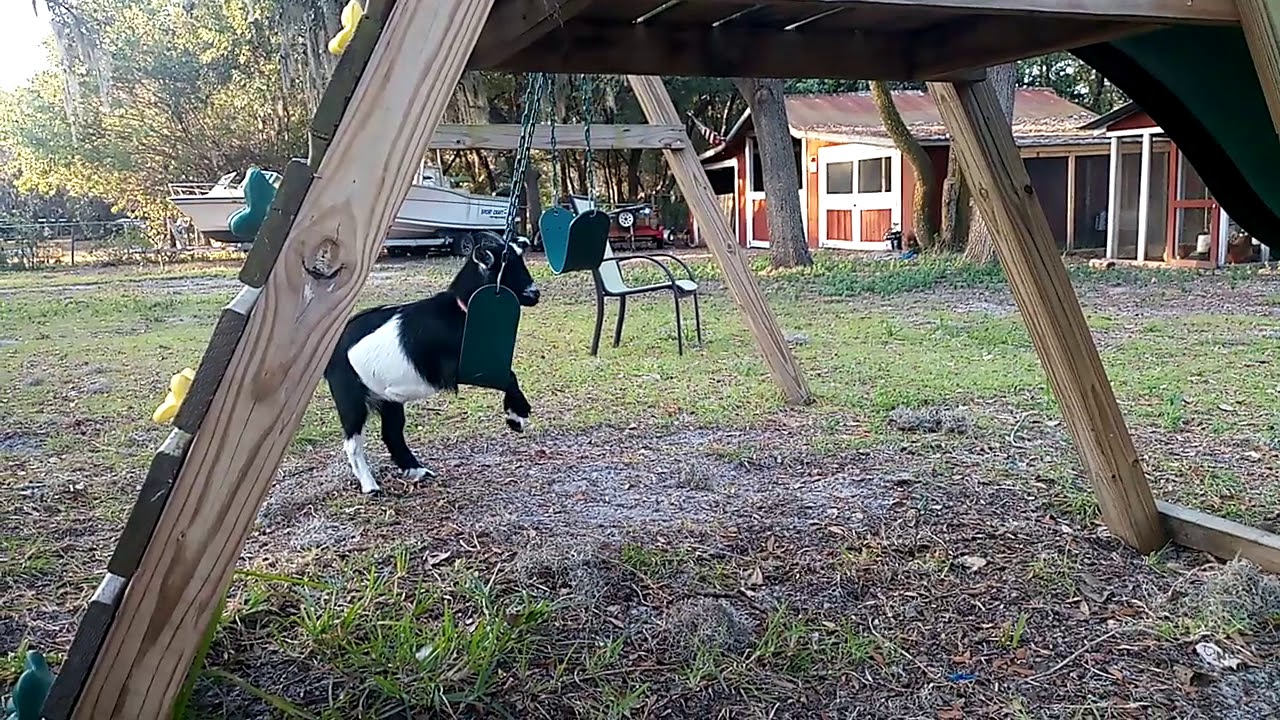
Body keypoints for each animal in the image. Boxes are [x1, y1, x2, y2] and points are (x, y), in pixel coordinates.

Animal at [323, 231, 540, 494]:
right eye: (507, 266)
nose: (535, 294)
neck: (461, 311)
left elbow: (509, 376)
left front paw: (516, 416)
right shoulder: (460, 369)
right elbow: (509, 378)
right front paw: (517, 417)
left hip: (387, 397)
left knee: (392, 432)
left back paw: (417, 471)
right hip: (350, 394)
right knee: (353, 441)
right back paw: (370, 486)